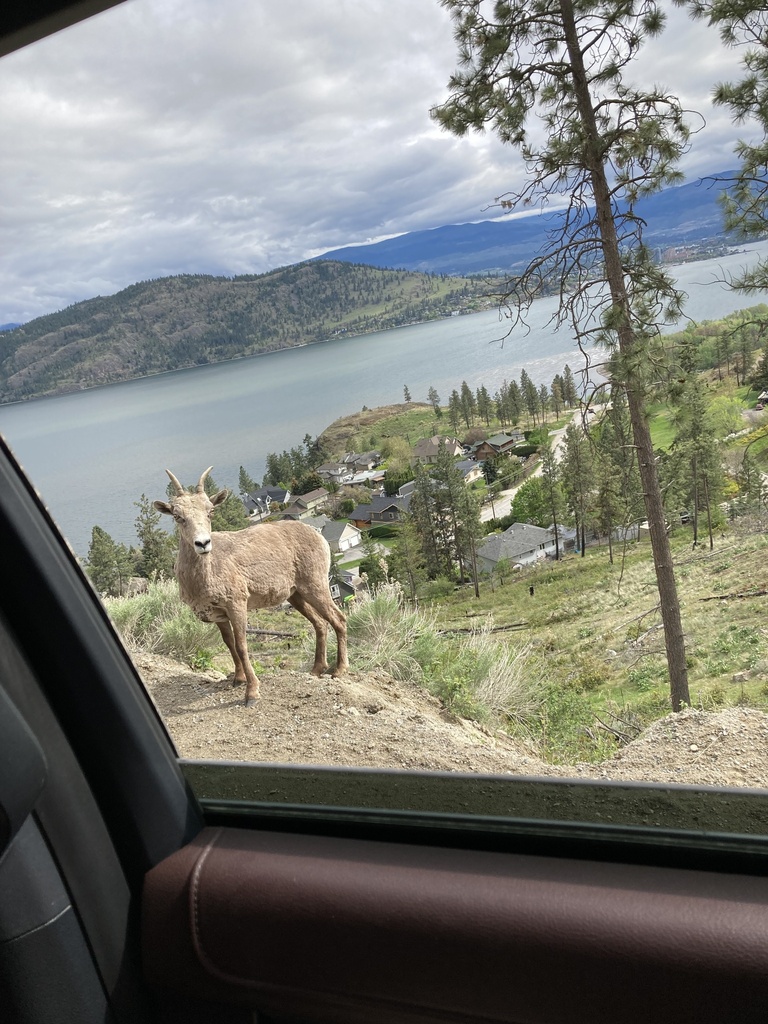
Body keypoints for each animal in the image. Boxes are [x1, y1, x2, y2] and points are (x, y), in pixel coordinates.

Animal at [154, 467, 348, 707]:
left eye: (210, 511)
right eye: (177, 516)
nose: (203, 544)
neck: (205, 577)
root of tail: (317, 534)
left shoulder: (237, 604)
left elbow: (241, 645)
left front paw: (252, 693)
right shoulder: (219, 615)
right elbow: (229, 644)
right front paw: (237, 680)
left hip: (316, 586)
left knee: (338, 619)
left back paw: (339, 670)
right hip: (296, 595)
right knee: (320, 624)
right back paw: (316, 670)